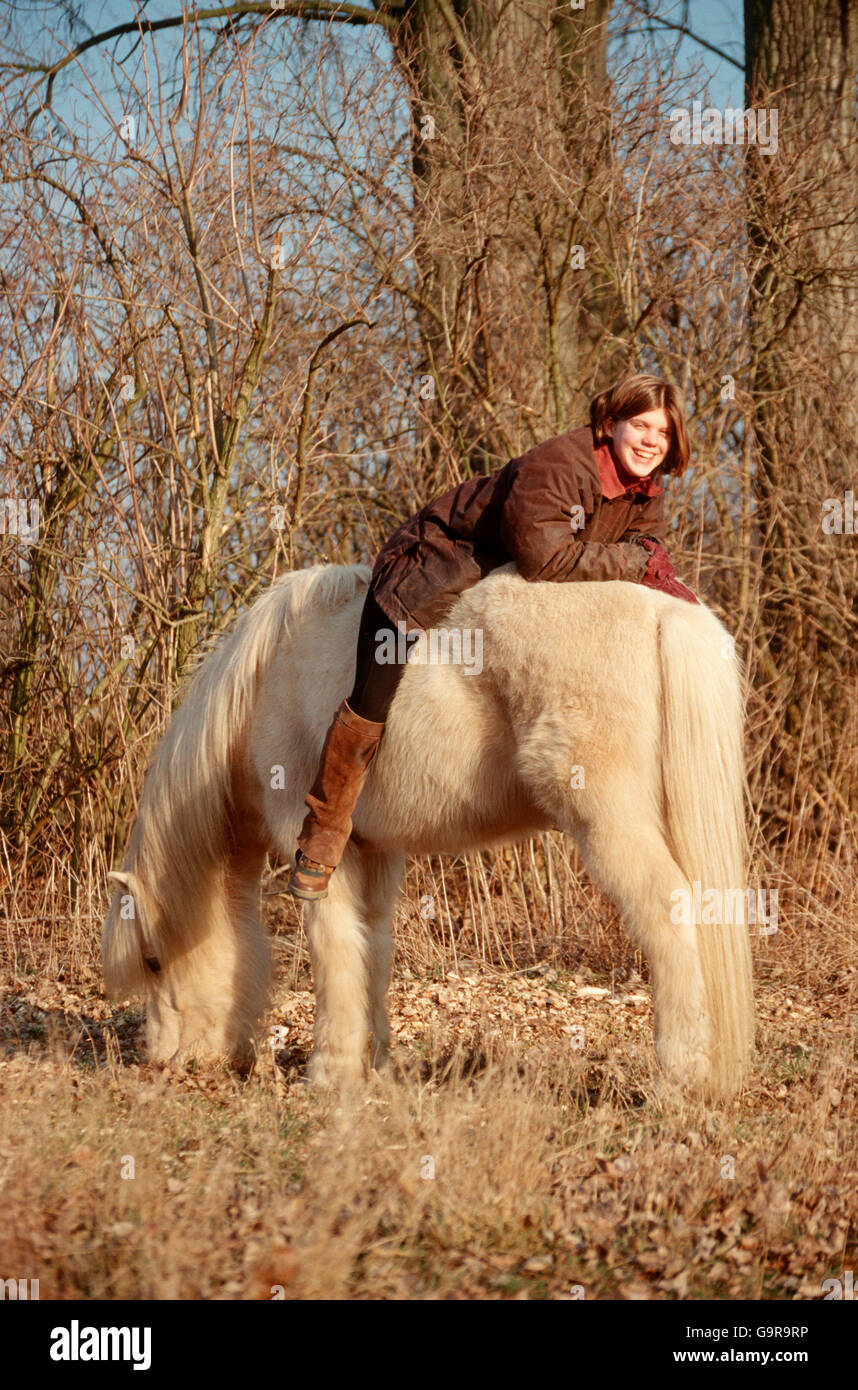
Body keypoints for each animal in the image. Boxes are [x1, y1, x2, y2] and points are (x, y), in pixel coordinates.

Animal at [102, 562, 754, 1101]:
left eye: (154, 962)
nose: (161, 1063)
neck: (264, 682)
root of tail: (663, 607)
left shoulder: (313, 847)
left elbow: (332, 948)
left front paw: (328, 1073)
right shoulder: (375, 853)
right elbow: (371, 948)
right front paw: (373, 1063)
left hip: (609, 820)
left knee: (670, 916)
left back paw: (678, 1080)